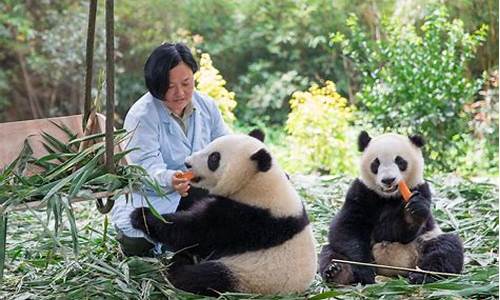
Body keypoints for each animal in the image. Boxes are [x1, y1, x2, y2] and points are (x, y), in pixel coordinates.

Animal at [130, 131, 316, 296]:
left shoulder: (250, 219)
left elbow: (195, 233)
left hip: (248, 276)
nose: (187, 163)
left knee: (205, 277)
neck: (257, 183)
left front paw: (141, 216)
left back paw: (179, 266)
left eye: (214, 158)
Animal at [318, 131, 462, 284]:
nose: (388, 180)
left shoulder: (421, 189)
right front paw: (364, 269)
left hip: (426, 240)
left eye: (400, 161)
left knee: (446, 248)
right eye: (376, 163)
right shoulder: (360, 192)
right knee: (330, 252)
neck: (388, 196)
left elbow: (400, 232)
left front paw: (413, 212)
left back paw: (422, 275)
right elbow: (347, 226)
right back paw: (338, 272)